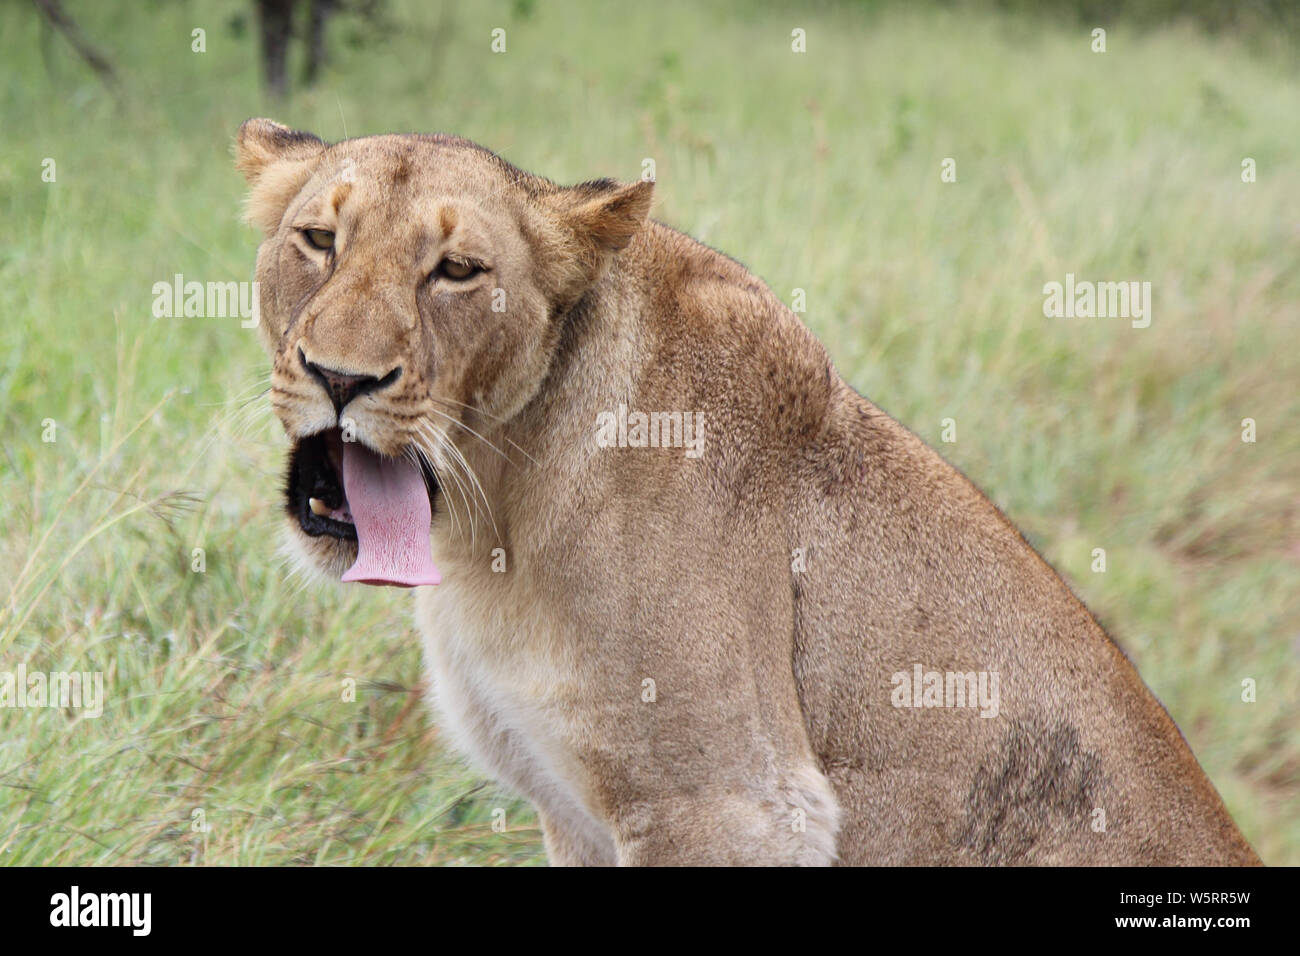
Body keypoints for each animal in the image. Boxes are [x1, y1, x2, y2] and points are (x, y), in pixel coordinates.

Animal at [234, 118, 1260, 866]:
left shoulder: (732, 805)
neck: (497, 507)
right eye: (319, 241)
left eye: (456, 271)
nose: (341, 378)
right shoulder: (576, 814)